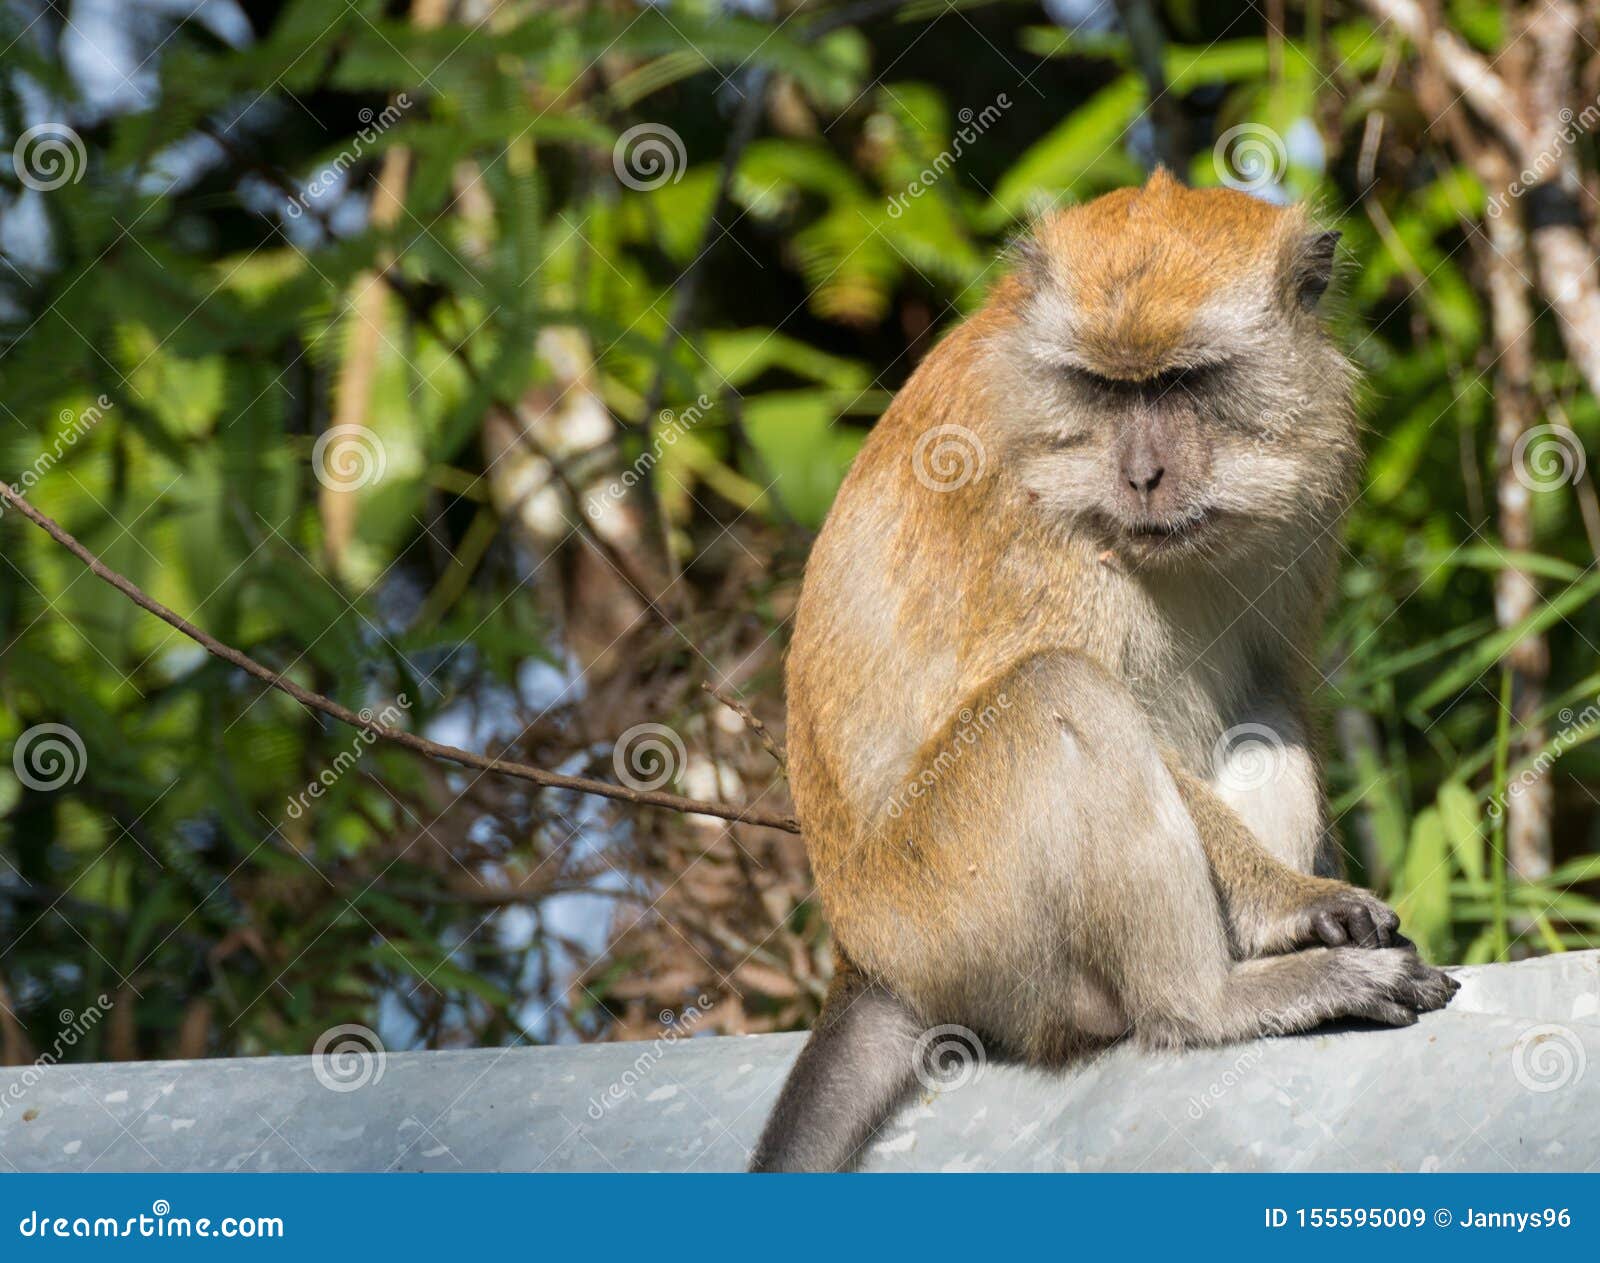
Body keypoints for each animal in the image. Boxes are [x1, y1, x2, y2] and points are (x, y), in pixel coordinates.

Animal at [749, 169, 1459, 1173]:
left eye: (1182, 380)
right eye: (1104, 386)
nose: (1144, 475)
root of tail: (867, 958)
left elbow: (1279, 680)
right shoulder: (1014, 501)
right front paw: (1296, 899)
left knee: (1261, 703)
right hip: (947, 916)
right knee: (1059, 691)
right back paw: (1213, 1001)